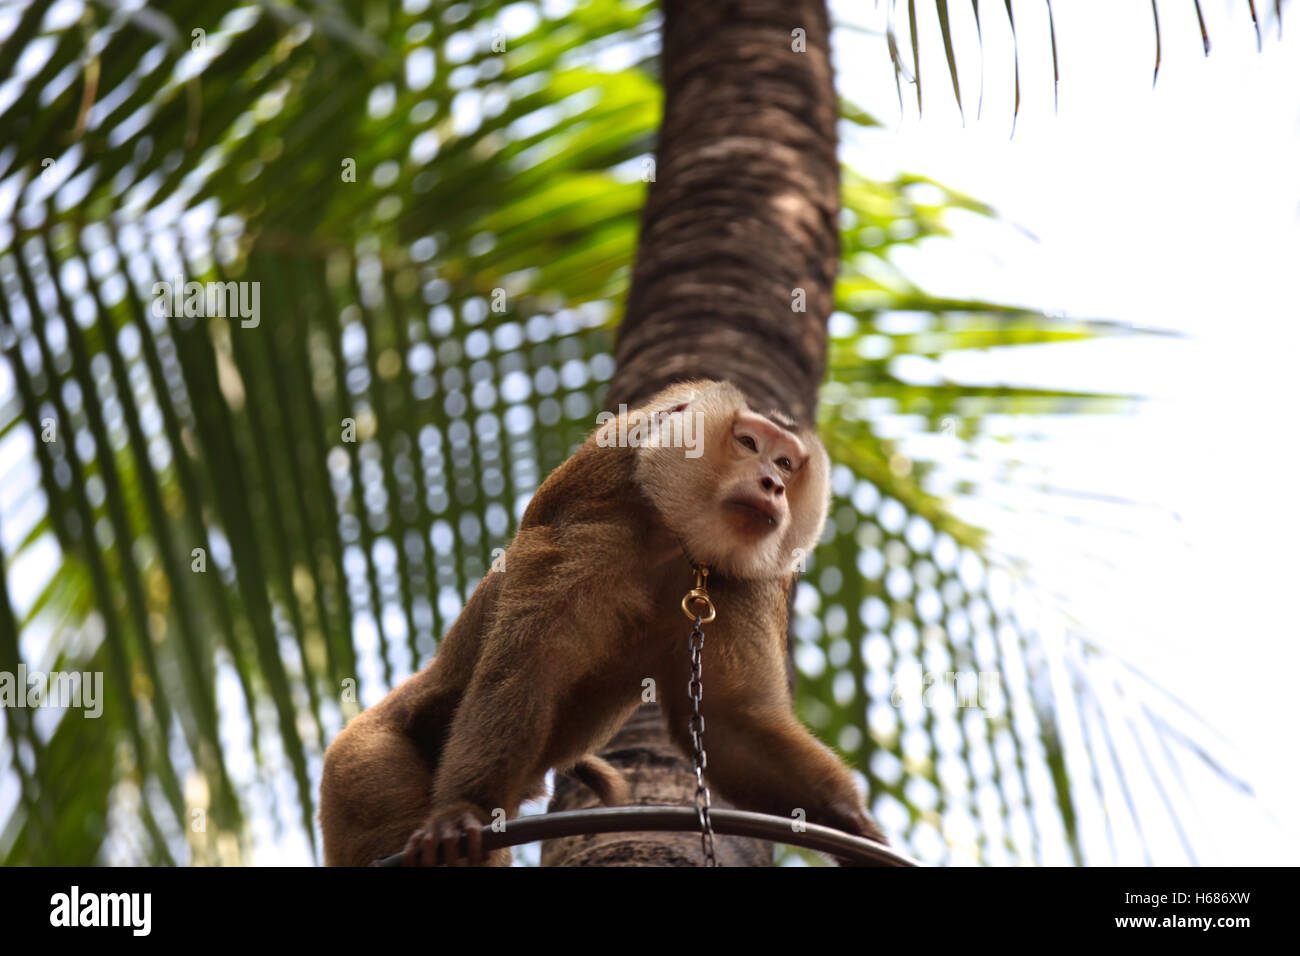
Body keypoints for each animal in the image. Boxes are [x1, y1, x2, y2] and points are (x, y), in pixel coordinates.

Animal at [318, 379, 886, 866]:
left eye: (786, 463)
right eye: (748, 443)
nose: (772, 485)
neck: (670, 537)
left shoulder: (740, 584)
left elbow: (733, 723)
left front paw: (853, 825)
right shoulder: (586, 538)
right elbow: (529, 670)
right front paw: (464, 810)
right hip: (360, 764)